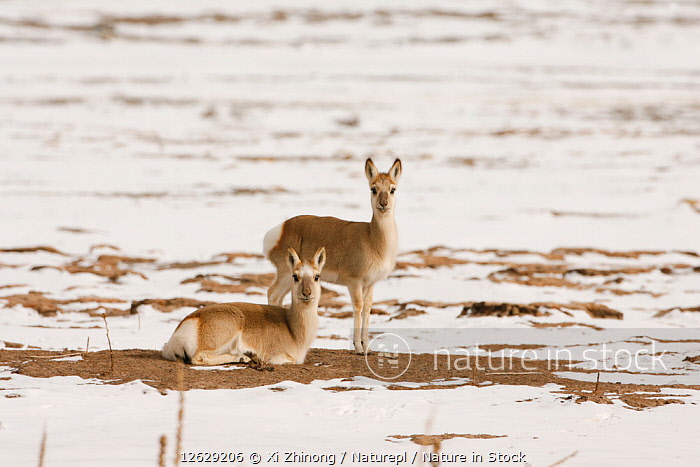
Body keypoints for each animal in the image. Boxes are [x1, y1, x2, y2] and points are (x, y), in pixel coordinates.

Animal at [162, 246, 325, 365]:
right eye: (295, 276)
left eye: (317, 276)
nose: (306, 293)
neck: (291, 325)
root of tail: (192, 320)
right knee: (198, 358)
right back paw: (245, 357)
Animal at [264, 158, 402, 354]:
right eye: (373, 188)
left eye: (392, 189)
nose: (383, 204)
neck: (372, 238)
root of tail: (281, 229)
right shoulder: (354, 282)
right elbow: (357, 307)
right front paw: (358, 348)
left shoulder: (370, 284)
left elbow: (367, 308)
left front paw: (367, 347)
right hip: (286, 274)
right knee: (273, 294)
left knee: (278, 297)